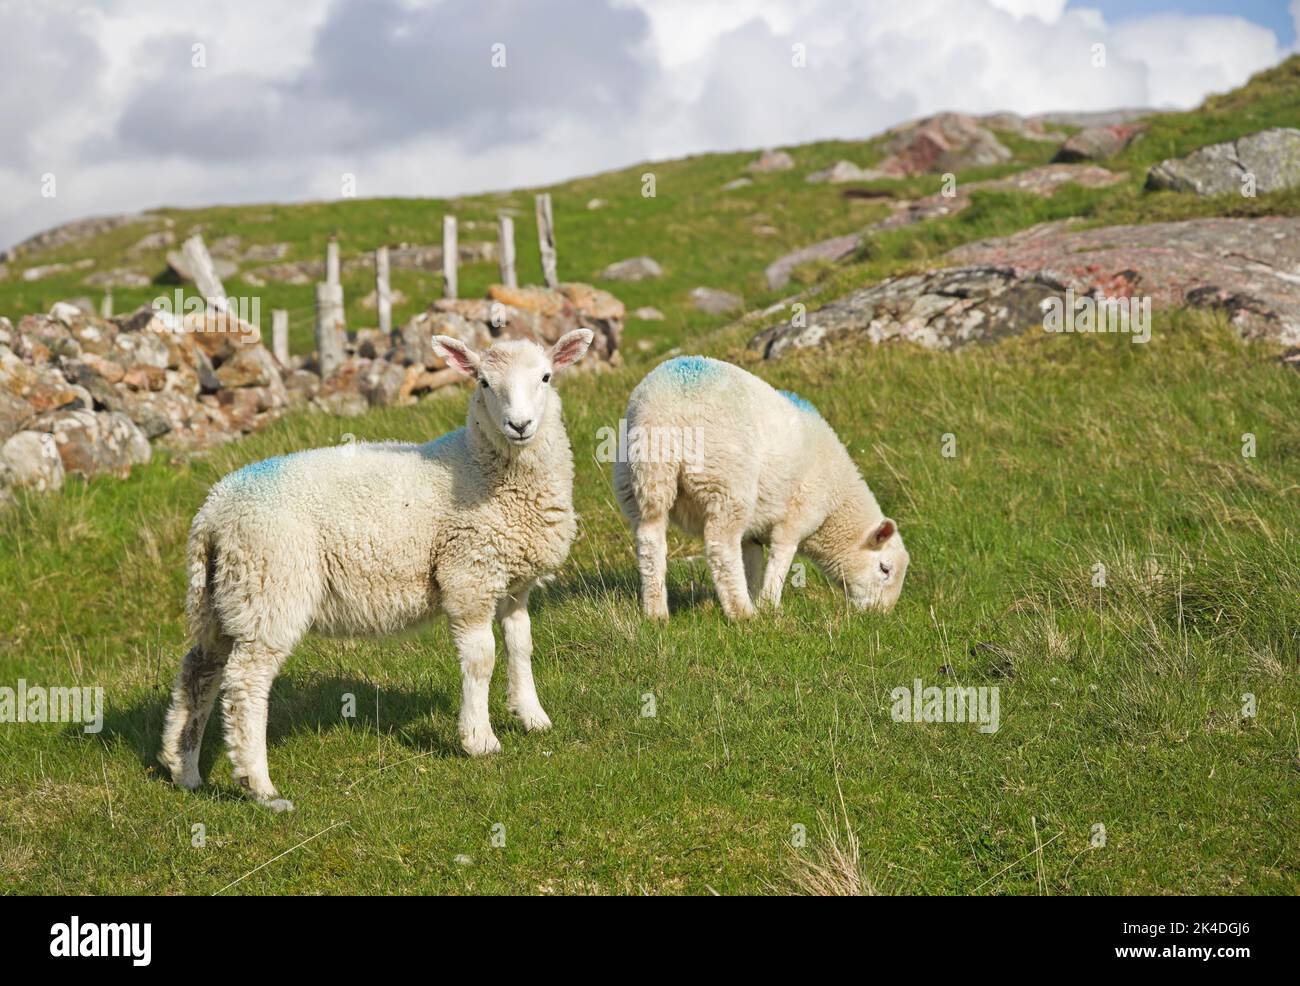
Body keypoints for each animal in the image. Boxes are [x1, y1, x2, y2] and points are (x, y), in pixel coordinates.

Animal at [159, 329, 594, 811]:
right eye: (482, 382)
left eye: (546, 377)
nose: (519, 425)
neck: (479, 467)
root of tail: (213, 512)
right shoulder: (468, 574)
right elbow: (482, 658)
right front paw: (479, 740)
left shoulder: (515, 582)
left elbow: (521, 645)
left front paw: (532, 716)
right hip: (270, 586)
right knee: (244, 684)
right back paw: (260, 786)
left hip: (223, 595)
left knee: (198, 670)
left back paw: (184, 768)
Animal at [612, 355, 908, 621]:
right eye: (885, 569)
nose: (879, 615)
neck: (835, 509)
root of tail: (667, 410)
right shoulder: (797, 516)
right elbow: (780, 558)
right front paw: (768, 606)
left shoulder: (753, 531)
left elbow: (752, 563)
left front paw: (755, 596)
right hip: (725, 478)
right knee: (721, 546)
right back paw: (743, 615)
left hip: (640, 478)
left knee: (650, 540)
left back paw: (656, 613)